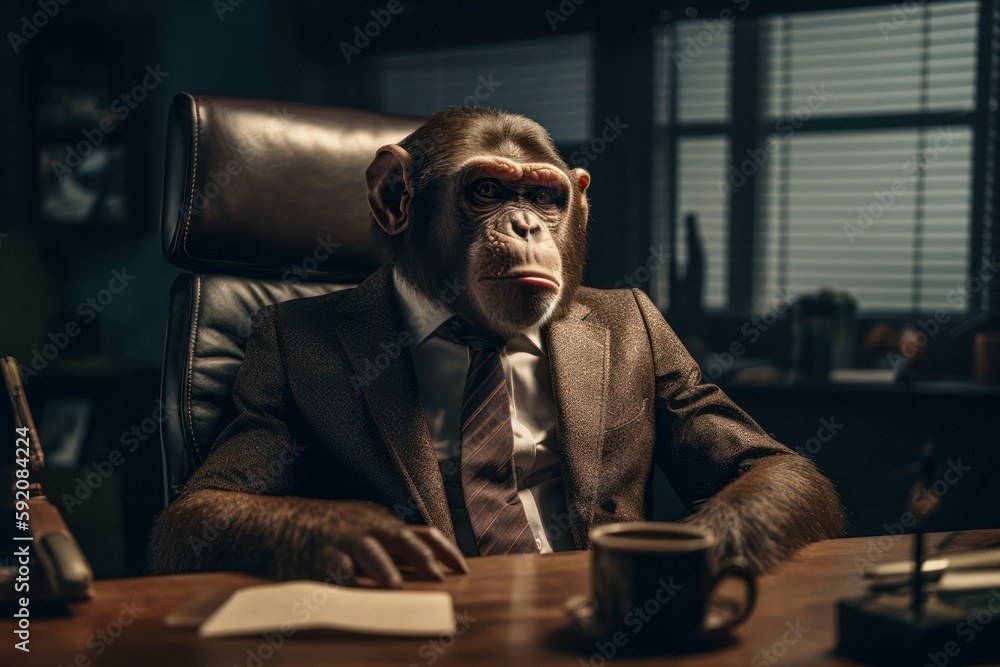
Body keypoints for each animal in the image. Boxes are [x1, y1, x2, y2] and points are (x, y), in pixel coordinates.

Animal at [148, 106, 844, 586]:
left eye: (543, 195)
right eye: (486, 191)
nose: (527, 224)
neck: (474, 330)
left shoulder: (664, 347)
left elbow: (759, 462)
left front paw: (711, 541)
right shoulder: (267, 363)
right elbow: (207, 502)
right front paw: (351, 534)